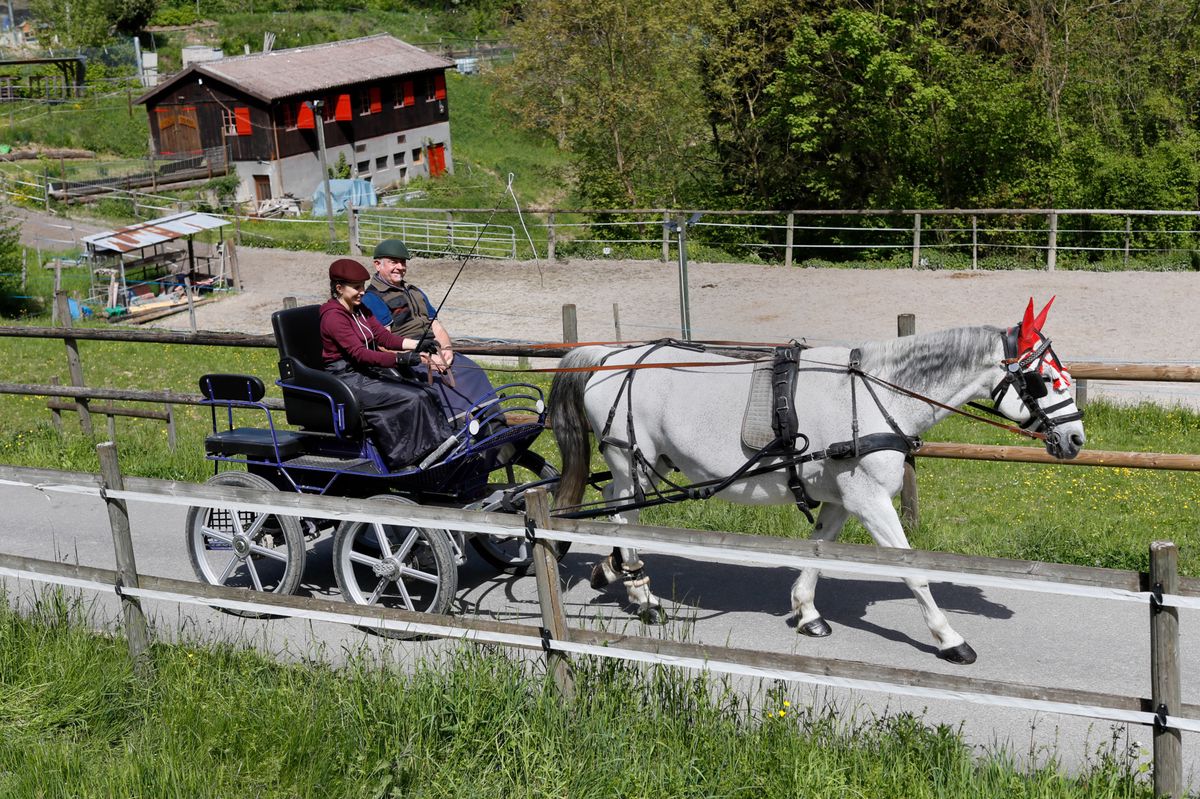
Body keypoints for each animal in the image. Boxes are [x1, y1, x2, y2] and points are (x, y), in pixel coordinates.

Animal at [547, 298, 1085, 664]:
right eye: (1044, 381)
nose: (1076, 438)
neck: (872, 394)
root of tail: (610, 356)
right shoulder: (870, 500)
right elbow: (912, 571)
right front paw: (950, 638)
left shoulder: (843, 500)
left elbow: (818, 553)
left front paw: (807, 613)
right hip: (630, 459)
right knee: (622, 515)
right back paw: (643, 597)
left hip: (644, 465)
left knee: (613, 504)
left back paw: (613, 571)